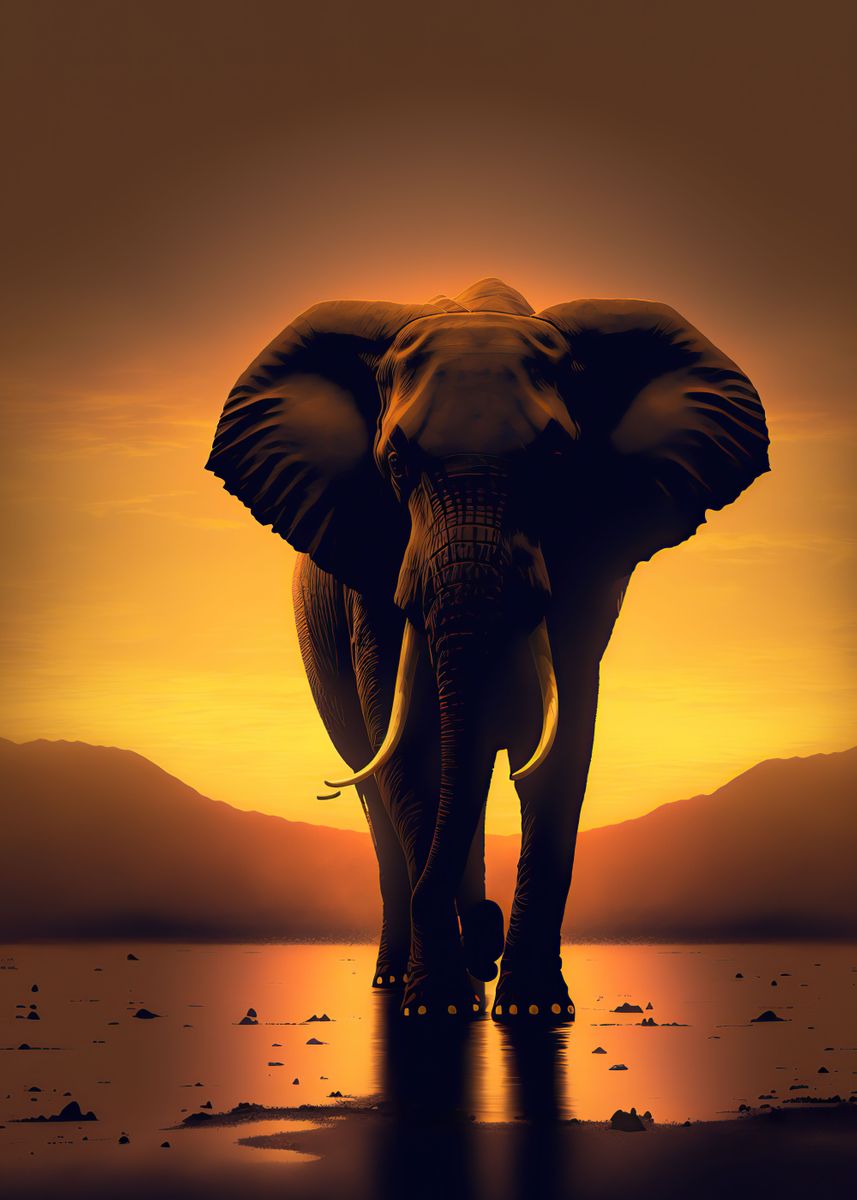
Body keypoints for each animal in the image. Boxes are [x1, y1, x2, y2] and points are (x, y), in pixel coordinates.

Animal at [206, 277, 769, 1022]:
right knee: (377, 789)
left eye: (557, 460)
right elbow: (409, 742)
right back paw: (396, 981)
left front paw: (533, 1011)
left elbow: (563, 741)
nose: (487, 934)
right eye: (395, 463)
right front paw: (437, 1009)